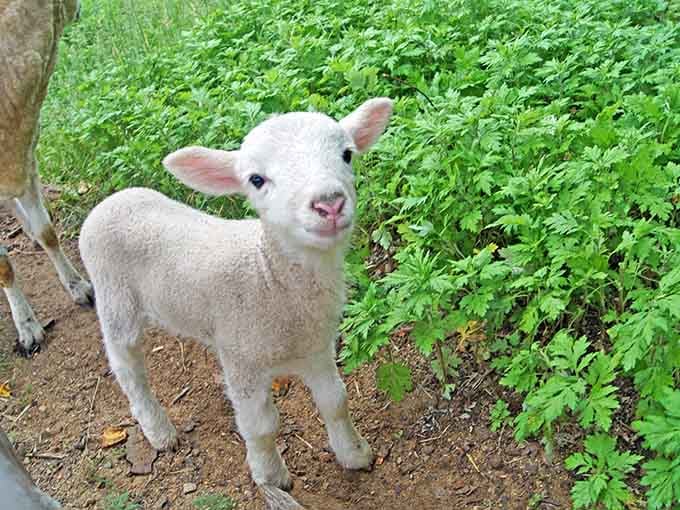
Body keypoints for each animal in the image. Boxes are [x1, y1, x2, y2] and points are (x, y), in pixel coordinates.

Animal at [1, 0, 93, 355]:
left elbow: (48, 232)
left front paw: (80, 288)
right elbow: (3, 266)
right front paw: (28, 329)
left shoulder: (26, 157)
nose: (80, 11)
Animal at [79, 97, 393, 507]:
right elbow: (260, 426)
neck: (269, 276)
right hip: (114, 296)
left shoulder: (317, 347)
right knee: (127, 367)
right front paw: (271, 477)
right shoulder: (242, 358)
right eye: (256, 180)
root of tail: (110, 201)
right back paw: (159, 431)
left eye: (347, 154)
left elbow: (335, 401)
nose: (329, 204)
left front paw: (354, 454)